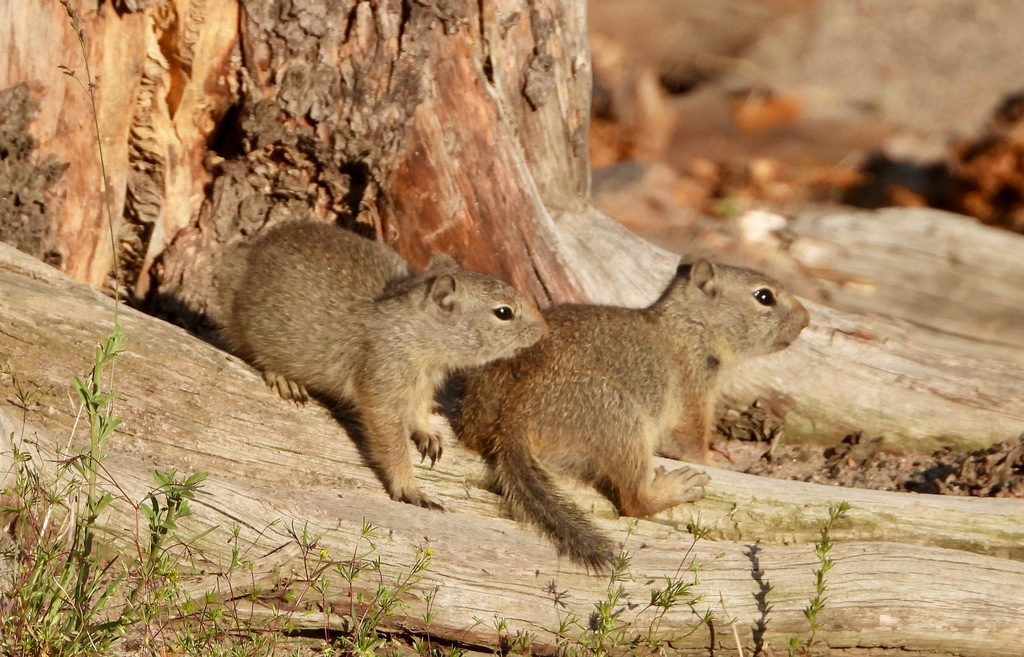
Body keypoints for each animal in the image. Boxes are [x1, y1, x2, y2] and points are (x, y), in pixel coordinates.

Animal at [215, 221, 548, 510]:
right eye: (503, 312)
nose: (543, 330)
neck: (421, 334)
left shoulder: (423, 384)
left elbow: (419, 410)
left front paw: (426, 432)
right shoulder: (384, 385)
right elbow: (391, 442)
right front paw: (410, 488)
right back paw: (285, 378)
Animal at [454, 259, 809, 570]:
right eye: (764, 296)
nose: (806, 320)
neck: (688, 325)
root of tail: (513, 417)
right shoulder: (693, 395)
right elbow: (692, 443)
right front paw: (717, 461)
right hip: (619, 418)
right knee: (633, 502)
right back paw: (675, 488)